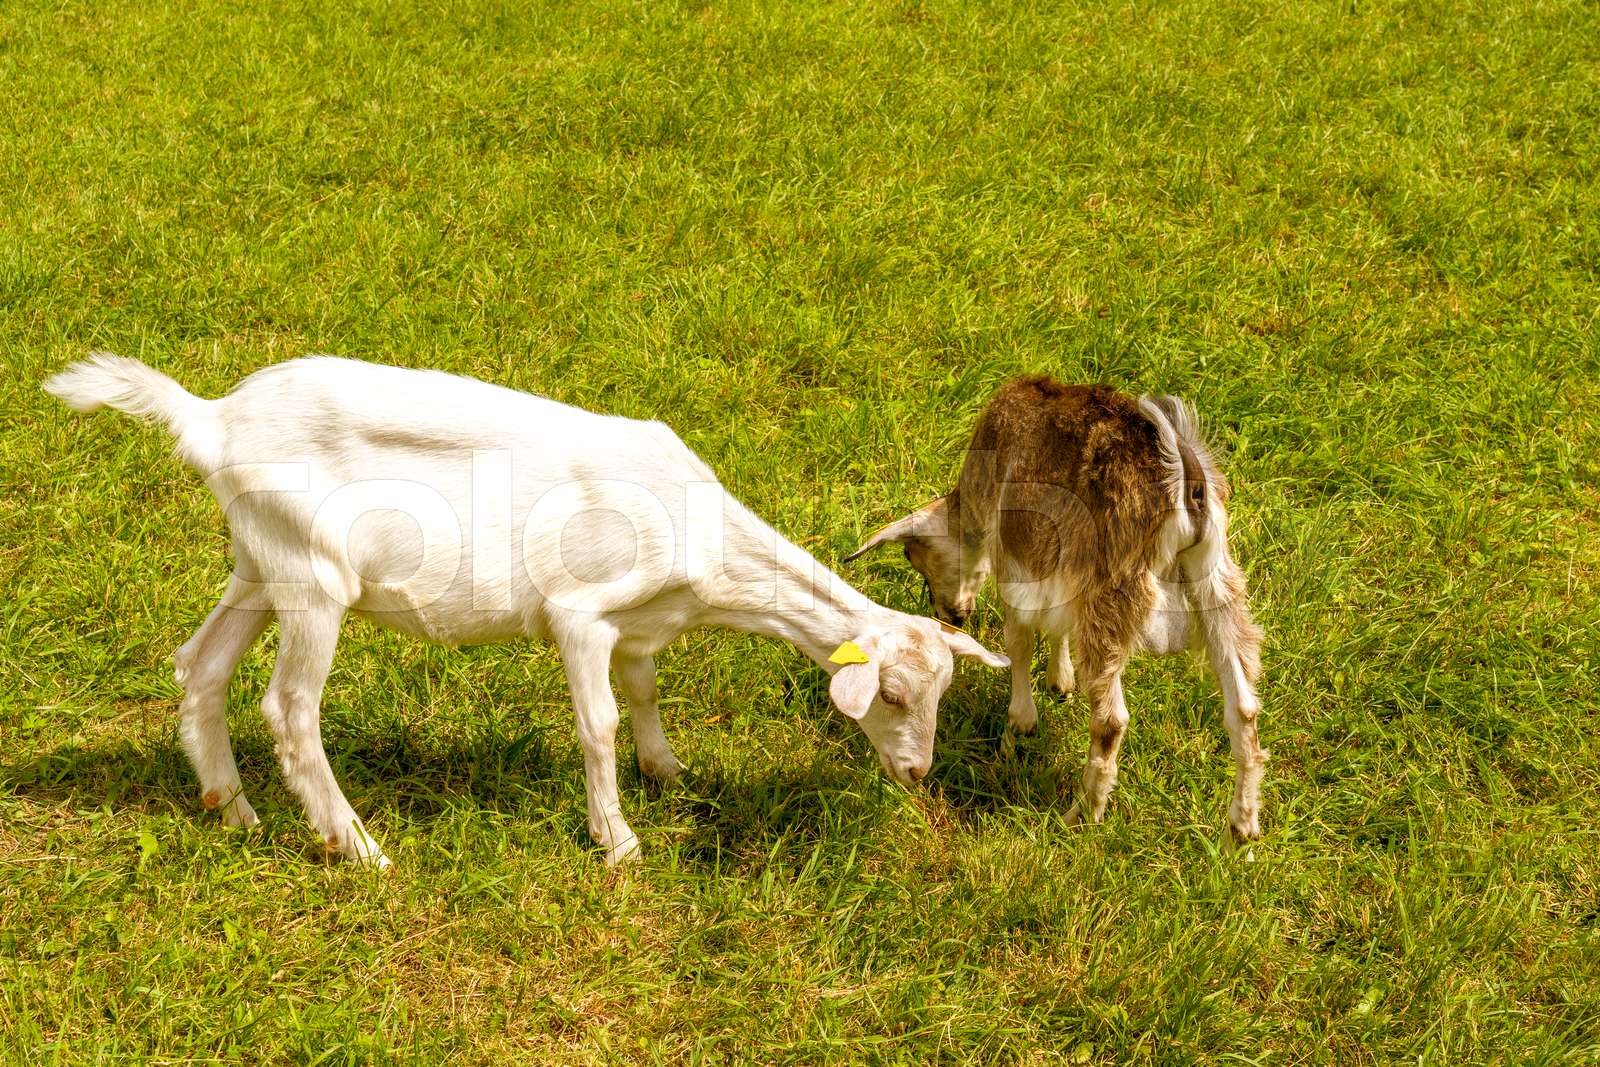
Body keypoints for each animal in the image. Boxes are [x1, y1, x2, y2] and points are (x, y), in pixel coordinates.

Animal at [44, 353, 1008, 868]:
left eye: (944, 692)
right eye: (891, 695)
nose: (918, 772)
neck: (700, 536)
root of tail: (209, 419)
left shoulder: (642, 626)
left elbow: (645, 695)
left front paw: (669, 773)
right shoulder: (581, 613)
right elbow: (599, 721)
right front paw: (617, 840)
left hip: (260, 561)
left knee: (199, 663)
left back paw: (232, 810)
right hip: (315, 579)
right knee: (288, 707)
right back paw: (358, 846)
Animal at [845, 376, 1266, 845]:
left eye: (913, 556)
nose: (950, 614)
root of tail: (1186, 485)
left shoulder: (1012, 563)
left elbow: (1019, 642)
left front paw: (1020, 726)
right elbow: (1056, 625)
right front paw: (1060, 682)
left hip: (1114, 595)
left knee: (1111, 720)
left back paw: (1082, 817)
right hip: (1217, 584)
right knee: (1244, 706)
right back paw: (1241, 833)